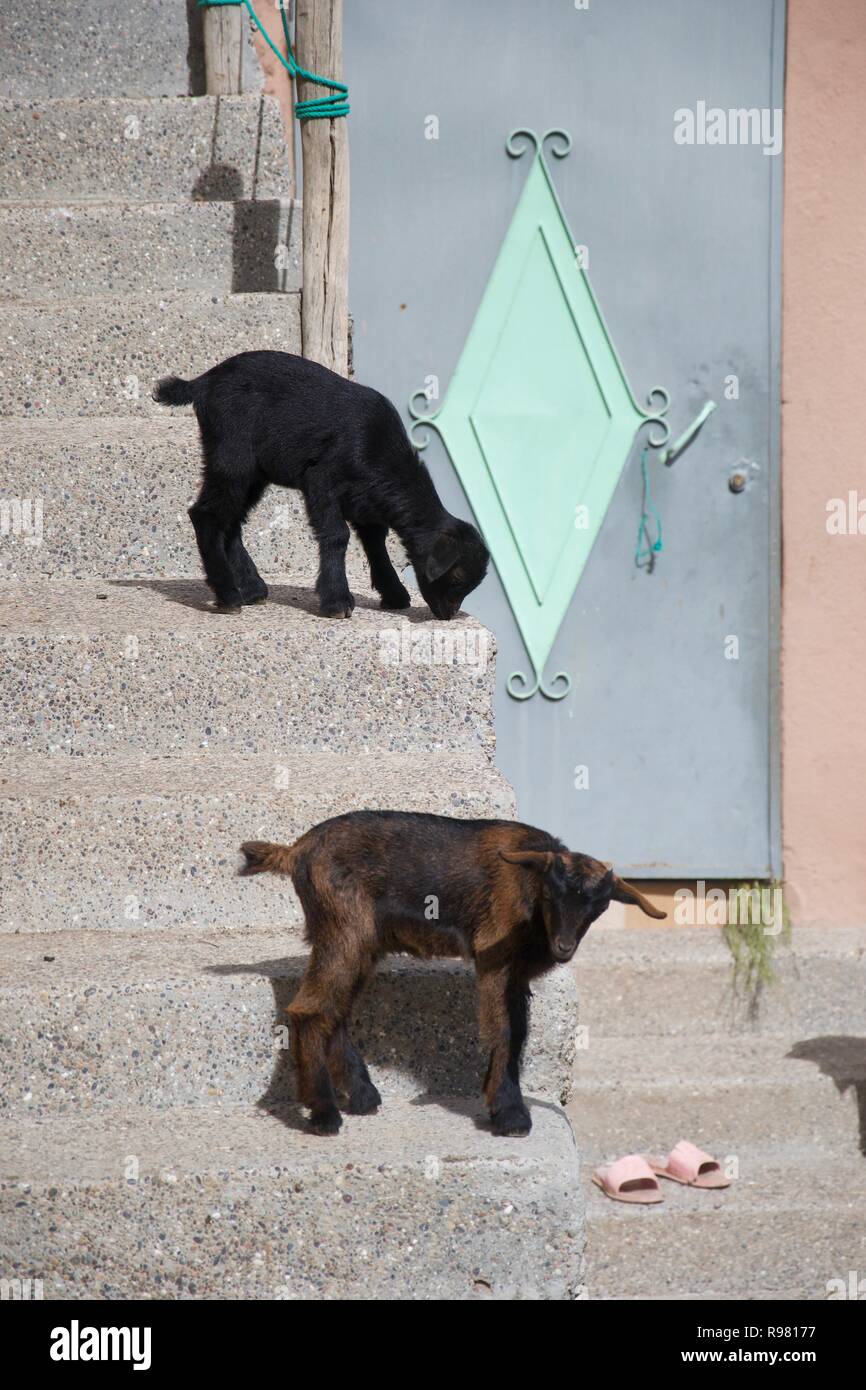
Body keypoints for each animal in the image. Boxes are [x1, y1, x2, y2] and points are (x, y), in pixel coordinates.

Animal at [153, 351, 489, 619]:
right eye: (456, 578)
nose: (448, 615)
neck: (383, 453)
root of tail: (203, 382)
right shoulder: (321, 480)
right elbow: (337, 535)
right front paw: (337, 601)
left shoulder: (367, 503)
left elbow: (376, 544)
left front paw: (393, 593)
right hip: (232, 456)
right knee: (206, 515)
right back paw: (228, 594)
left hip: (254, 473)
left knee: (232, 520)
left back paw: (251, 587)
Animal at [240, 810, 665, 1137]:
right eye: (550, 894)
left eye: (599, 906)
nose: (563, 947)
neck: (529, 891)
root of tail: (297, 850)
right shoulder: (495, 957)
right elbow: (505, 1030)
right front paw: (511, 1115)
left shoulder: (518, 974)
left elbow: (519, 1031)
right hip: (343, 928)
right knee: (310, 1010)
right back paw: (325, 1115)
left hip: (361, 942)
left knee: (335, 1010)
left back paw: (362, 1096)